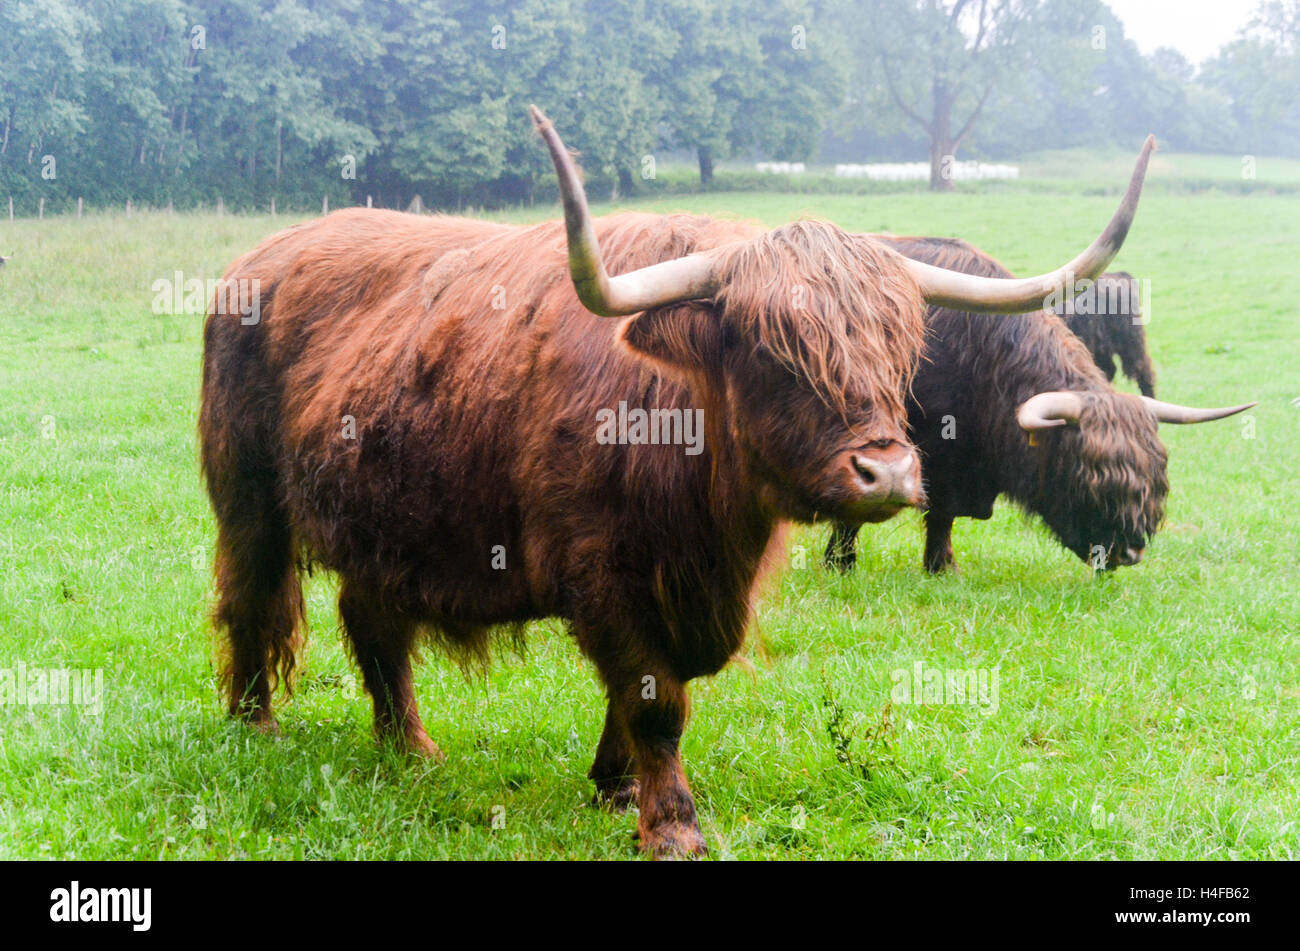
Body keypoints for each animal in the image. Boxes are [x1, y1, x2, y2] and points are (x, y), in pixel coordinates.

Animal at [198, 107, 1152, 857]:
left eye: (897, 348)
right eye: (773, 354)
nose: (885, 471)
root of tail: (265, 255)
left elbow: (648, 691)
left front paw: (615, 785)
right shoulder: (600, 570)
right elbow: (655, 698)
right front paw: (672, 825)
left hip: (381, 521)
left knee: (374, 621)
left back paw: (412, 747)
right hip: (247, 499)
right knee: (251, 597)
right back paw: (255, 722)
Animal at [824, 237, 1253, 576]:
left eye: (1155, 483)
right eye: (1091, 478)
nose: (1129, 553)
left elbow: (942, 516)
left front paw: (942, 567)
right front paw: (840, 566)